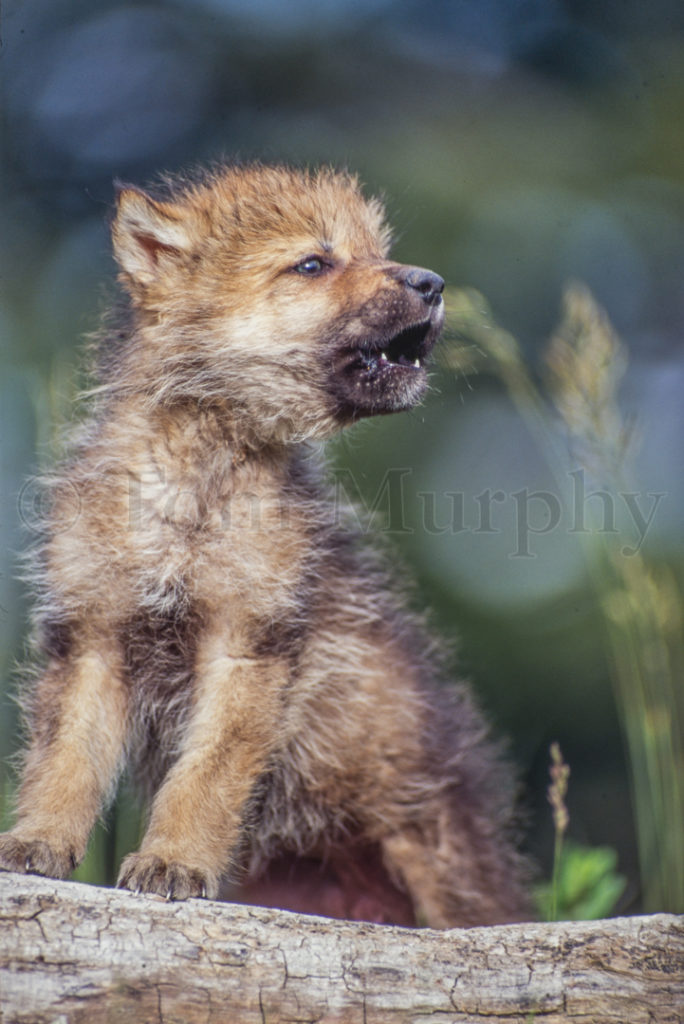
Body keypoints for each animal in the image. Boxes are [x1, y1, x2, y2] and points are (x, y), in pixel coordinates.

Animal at [0, 164, 529, 926]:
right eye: (313, 264)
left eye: (378, 252)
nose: (432, 283)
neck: (198, 475)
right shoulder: (92, 640)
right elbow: (63, 761)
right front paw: (35, 840)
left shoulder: (246, 646)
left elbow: (206, 775)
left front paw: (174, 860)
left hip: (444, 871)